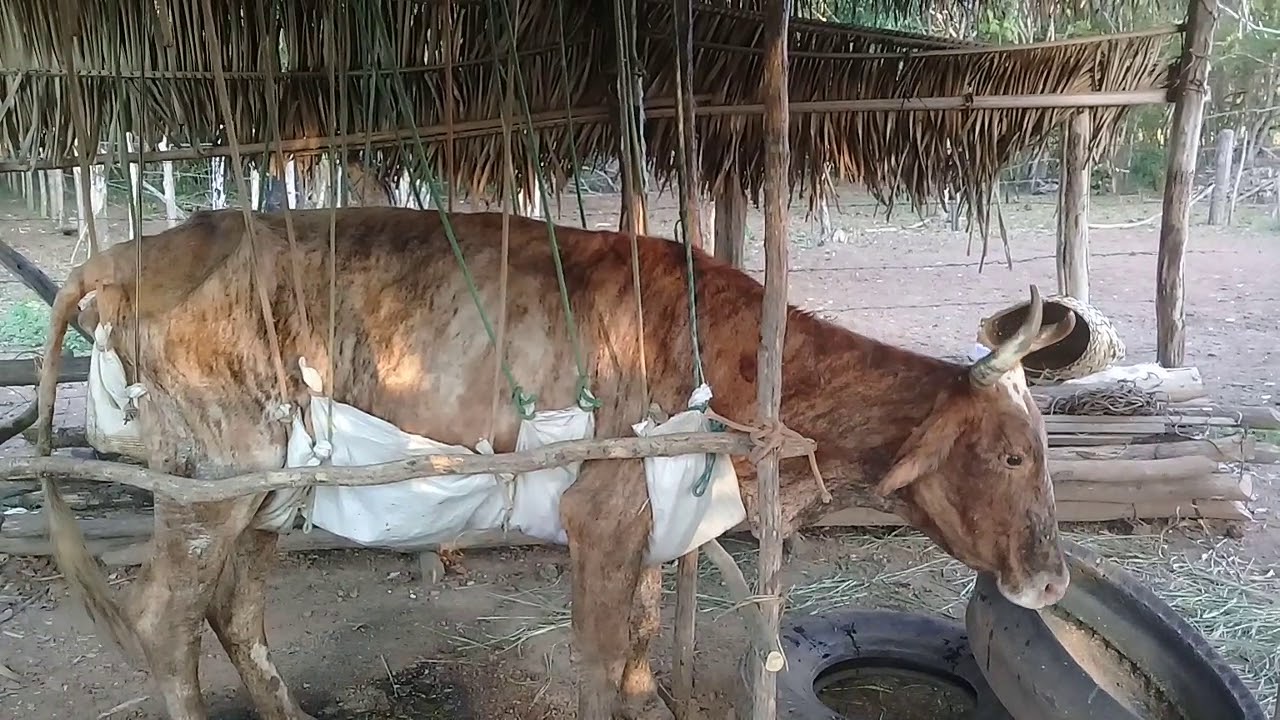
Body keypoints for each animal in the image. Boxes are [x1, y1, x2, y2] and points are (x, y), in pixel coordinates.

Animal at [32, 207, 1073, 720]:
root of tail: (127, 254)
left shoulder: (647, 528)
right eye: (1012, 452)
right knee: (164, 623)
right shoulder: (601, 517)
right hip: (209, 480)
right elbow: (600, 662)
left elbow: (642, 644)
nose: (1055, 582)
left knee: (234, 617)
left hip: (270, 493)